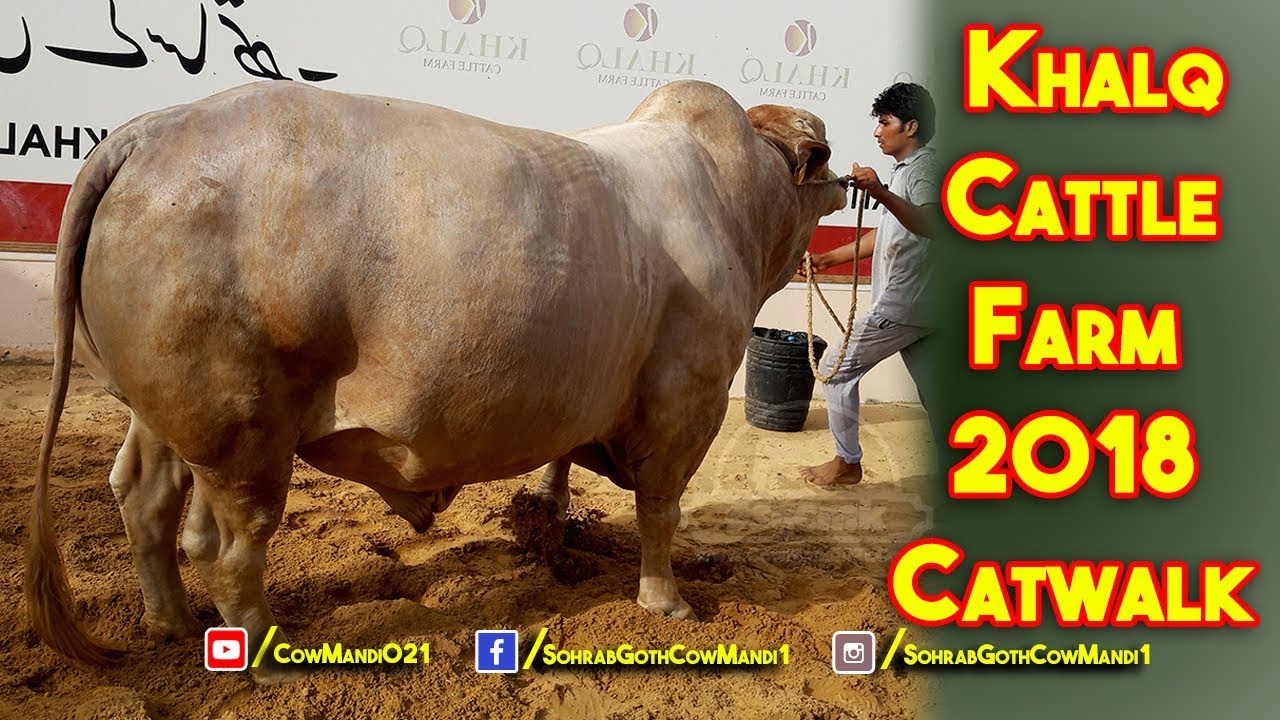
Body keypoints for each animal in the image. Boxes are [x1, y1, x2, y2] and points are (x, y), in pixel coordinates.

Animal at [27, 79, 847, 675]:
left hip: (164, 413)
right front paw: (666, 605)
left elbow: (568, 469)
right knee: (230, 549)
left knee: (146, 499)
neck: (736, 198)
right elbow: (661, 511)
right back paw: (268, 657)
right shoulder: (687, 404)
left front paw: (548, 522)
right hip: (243, 431)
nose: (847, 185)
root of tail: (144, 134)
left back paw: (169, 621)